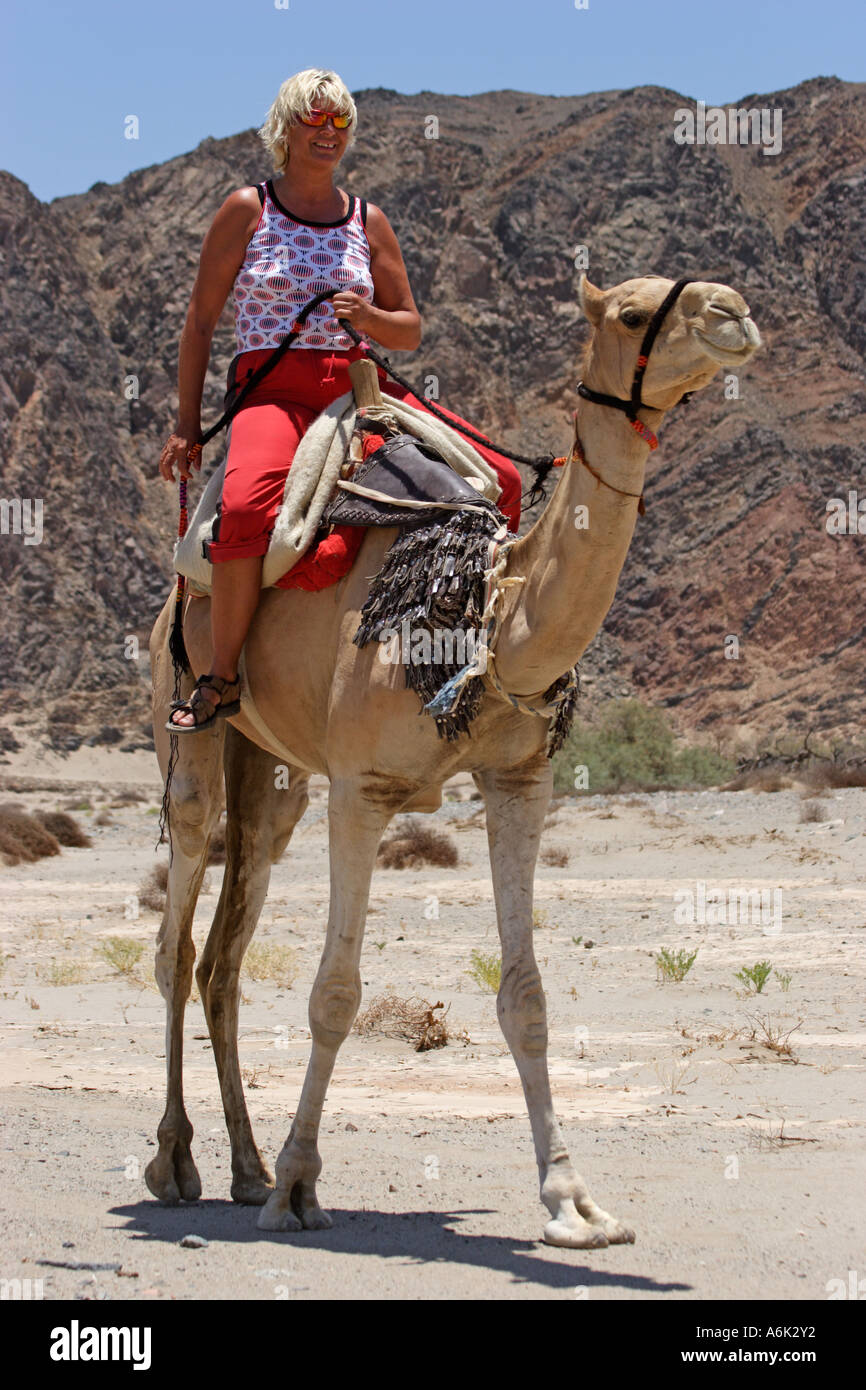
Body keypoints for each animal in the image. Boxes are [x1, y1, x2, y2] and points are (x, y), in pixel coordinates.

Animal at [145, 273, 760, 1247]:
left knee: (223, 956)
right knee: (178, 935)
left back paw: (242, 1167)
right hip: (189, 724)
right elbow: (336, 994)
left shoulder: (518, 780)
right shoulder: (361, 790)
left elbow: (527, 997)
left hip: (274, 777)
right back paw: (177, 1162)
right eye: (632, 313)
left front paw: (574, 1202)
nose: (731, 310)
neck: (488, 616)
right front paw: (299, 1186)